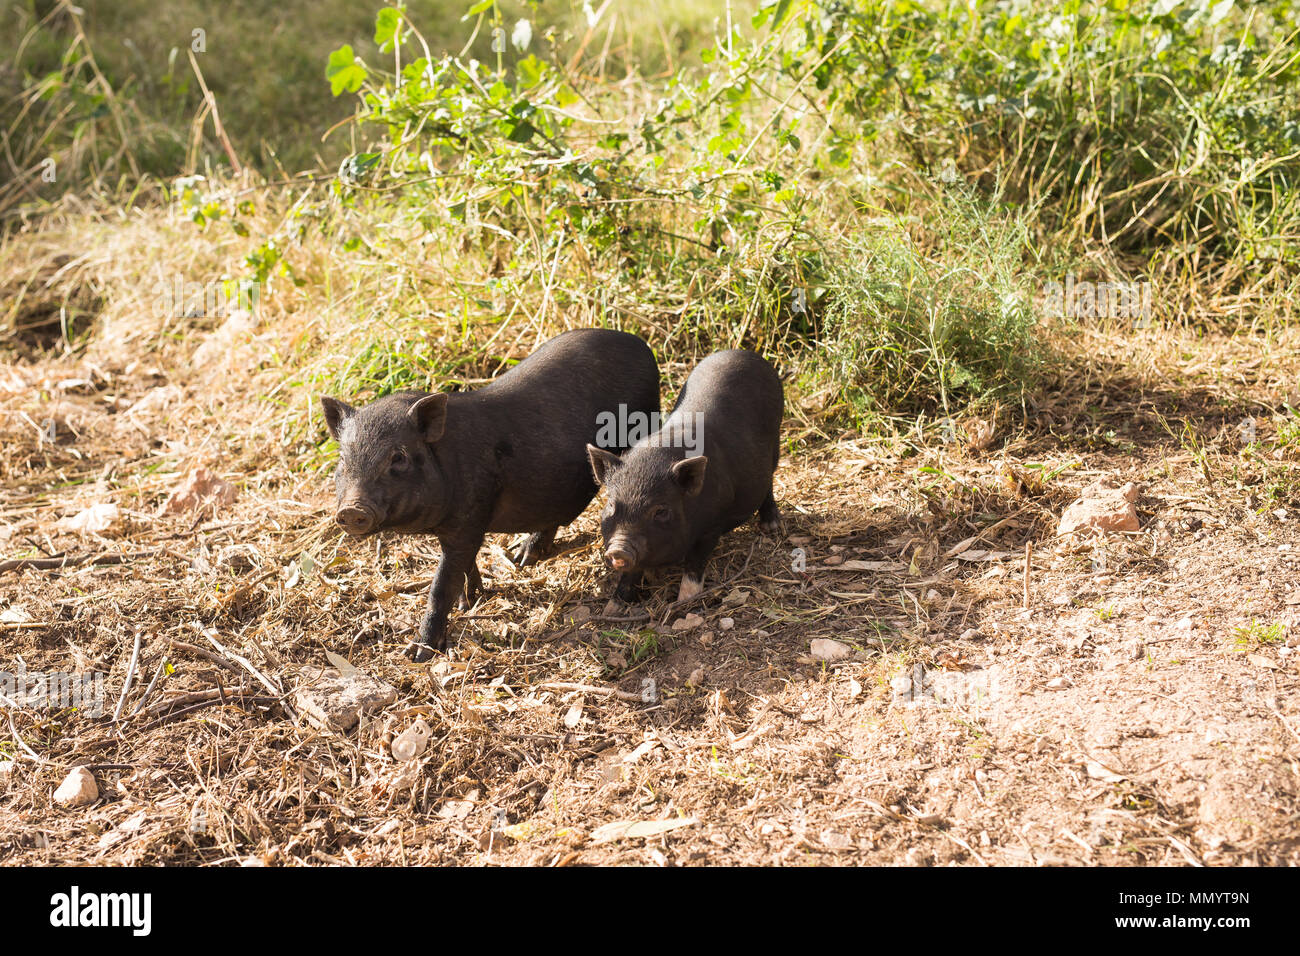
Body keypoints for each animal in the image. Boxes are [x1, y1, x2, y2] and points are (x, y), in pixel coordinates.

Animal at [321, 328, 660, 661]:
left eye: (398, 457)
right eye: (342, 459)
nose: (351, 509)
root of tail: (640, 344)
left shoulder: (469, 516)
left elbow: (441, 586)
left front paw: (417, 654)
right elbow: (464, 567)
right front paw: (471, 602)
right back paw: (522, 558)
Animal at [585, 349, 782, 608]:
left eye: (661, 511)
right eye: (610, 505)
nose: (619, 550)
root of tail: (745, 353)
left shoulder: (713, 525)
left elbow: (695, 563)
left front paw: (684, 601)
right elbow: (631, 573)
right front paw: (613, 607)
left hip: (776, 443)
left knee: (769, 482)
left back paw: (772, 526)